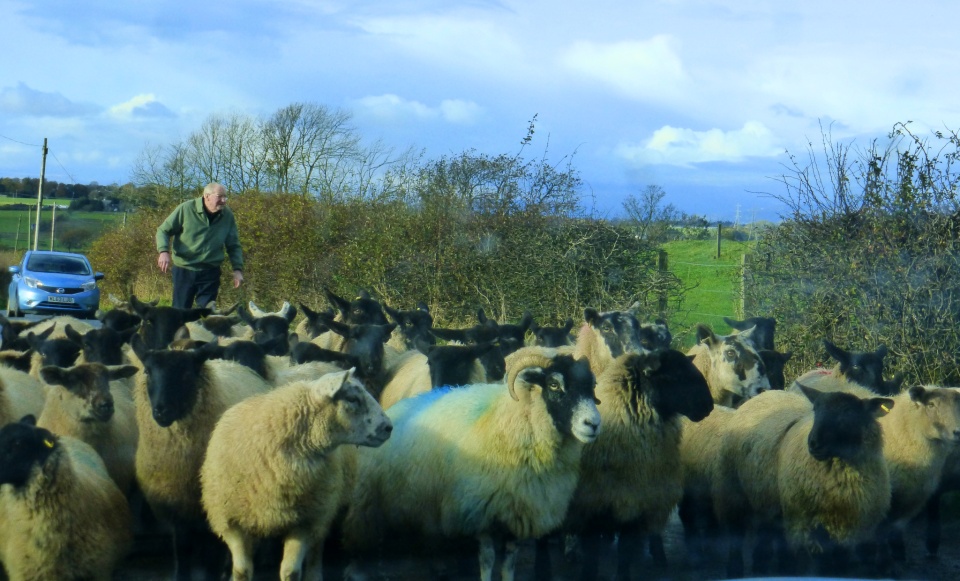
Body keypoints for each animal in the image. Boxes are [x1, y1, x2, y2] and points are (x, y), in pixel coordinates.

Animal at [131, 335, 272, 581]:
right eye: (148, 371)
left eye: (187, 374)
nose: (161, 411)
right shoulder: (178, 505)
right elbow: (183, 550)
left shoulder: (214, 507)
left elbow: (211, 556)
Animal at [200, 368, 392, 581]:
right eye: (352, 398)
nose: (388, 427)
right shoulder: (231, 522)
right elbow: (242, 570)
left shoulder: (304, 522)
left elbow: (291, 571)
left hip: (323, 506)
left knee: (317, 545)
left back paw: (314, 575)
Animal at [341, 346, 600, 581]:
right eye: (554, 385)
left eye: (591, 386)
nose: (593, 424)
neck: (513, 423)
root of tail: (395, 410)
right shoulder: (479, 511)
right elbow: (487, 559)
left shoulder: (516, 511)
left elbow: (509, 563)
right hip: (370, 499)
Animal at [714, 385, 893, 577]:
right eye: (816, 409)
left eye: (848, 411)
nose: (813, 443)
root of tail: (766, 393)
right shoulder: (802, 528)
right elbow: (808, 565)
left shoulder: (854, 532)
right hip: (733, 497)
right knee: (735, 539)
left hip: (767, 503)